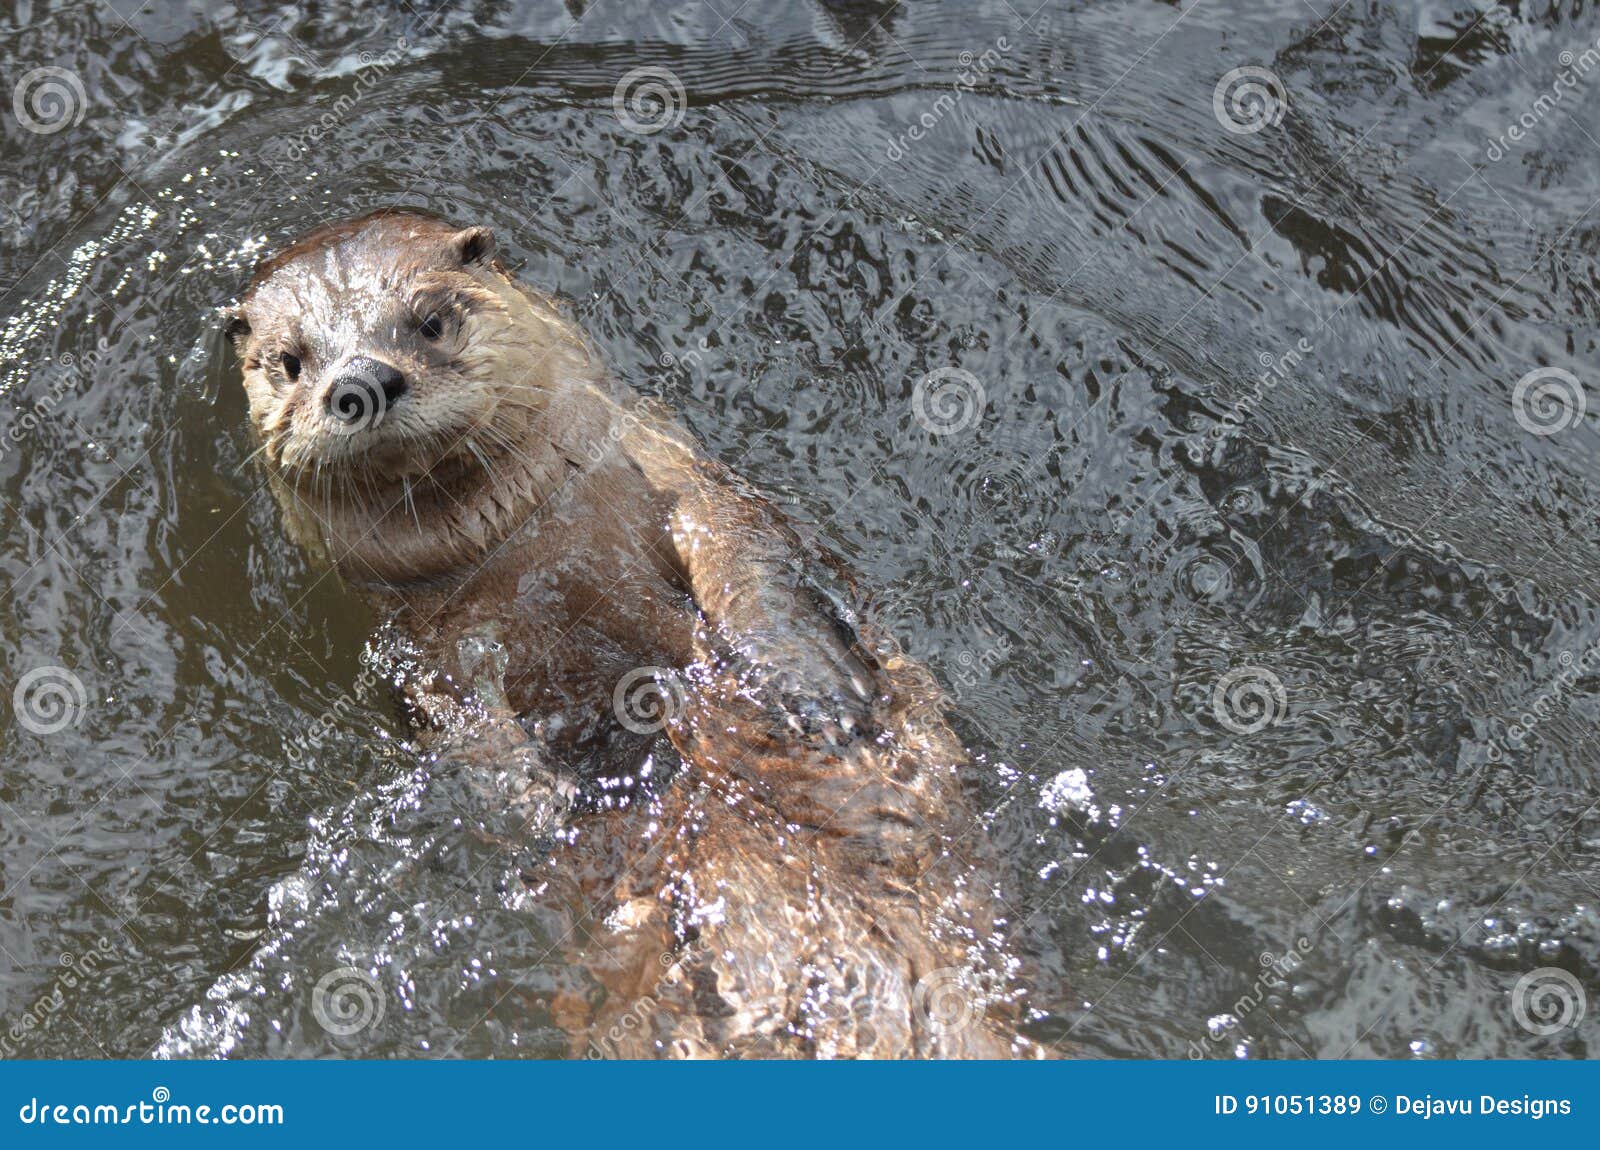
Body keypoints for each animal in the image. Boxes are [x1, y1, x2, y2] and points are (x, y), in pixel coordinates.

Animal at [225, 210, 1037, 1058]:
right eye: (288, 361)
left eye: (431, 320)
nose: (360, 381)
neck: (524, 539)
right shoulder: (423, 641)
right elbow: (460, 715)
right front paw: (538, 792)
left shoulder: (673, 473)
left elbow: (744, 559)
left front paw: (816, 690)